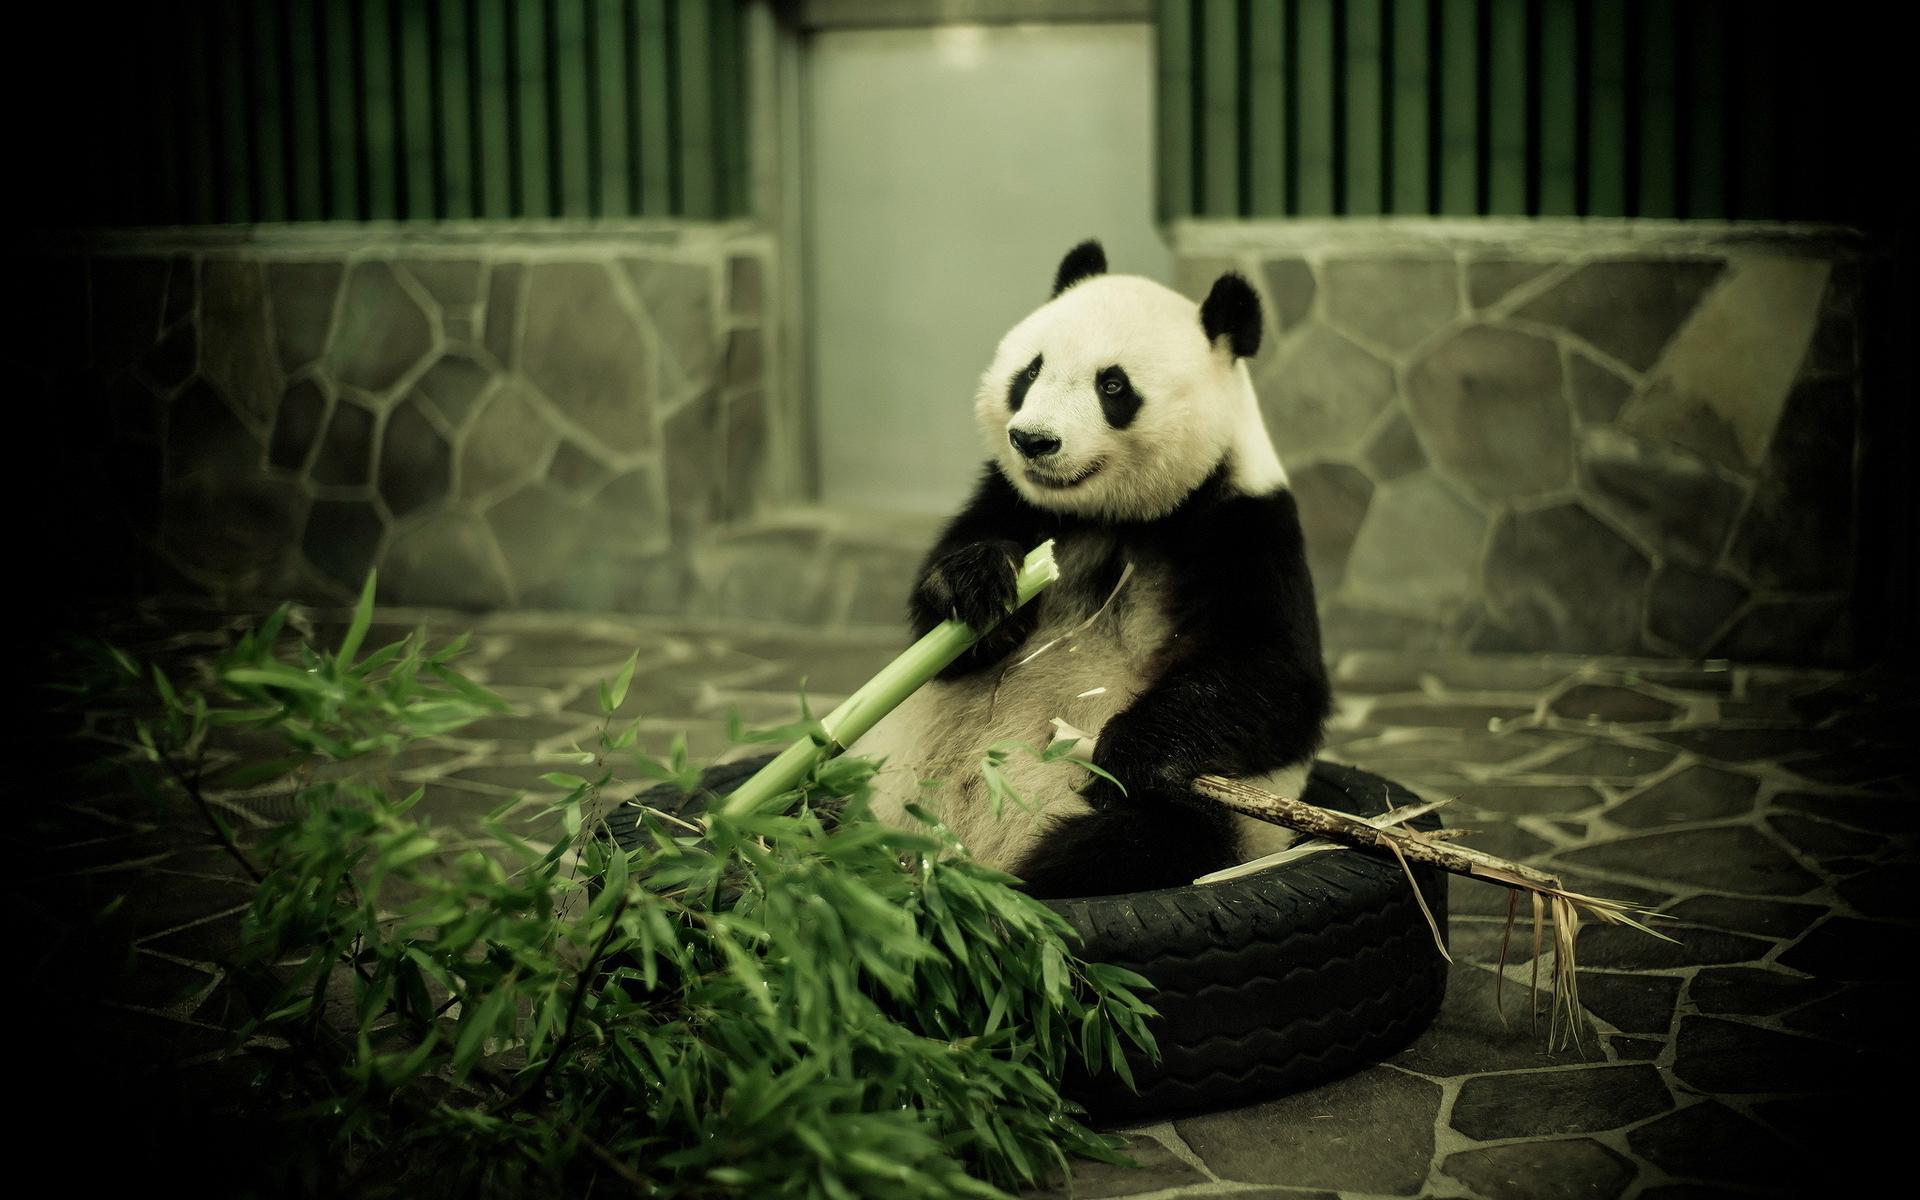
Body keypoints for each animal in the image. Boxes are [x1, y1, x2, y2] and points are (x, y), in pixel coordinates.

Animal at [848, 240, 1332, 900]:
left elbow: (1275, 677)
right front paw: (977, 585)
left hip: (1227, 823)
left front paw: (1128, 753)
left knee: (1135, 843)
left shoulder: (1245, 528)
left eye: (1113, 385)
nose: (1033, 440)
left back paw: (1011, 880)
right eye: (1030, 371)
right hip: (874, 782)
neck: (1116, 516)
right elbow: (937, 640)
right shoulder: (1012, 502)